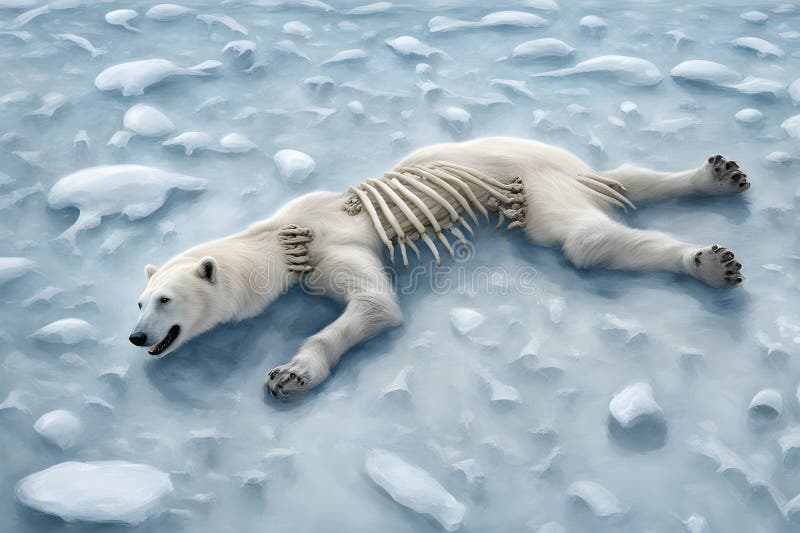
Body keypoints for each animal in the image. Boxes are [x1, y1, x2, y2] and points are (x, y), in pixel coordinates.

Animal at [130, 137, 749, 398]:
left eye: (165, 300)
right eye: (138, 302)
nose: (136, 337)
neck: (281, 238)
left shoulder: (336, 250)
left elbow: (374, 304)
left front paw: (290, 375)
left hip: (534, 184)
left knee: (588, 238)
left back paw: (710, 262)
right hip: (556, 167)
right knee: (623, 178)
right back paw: (716, 175)